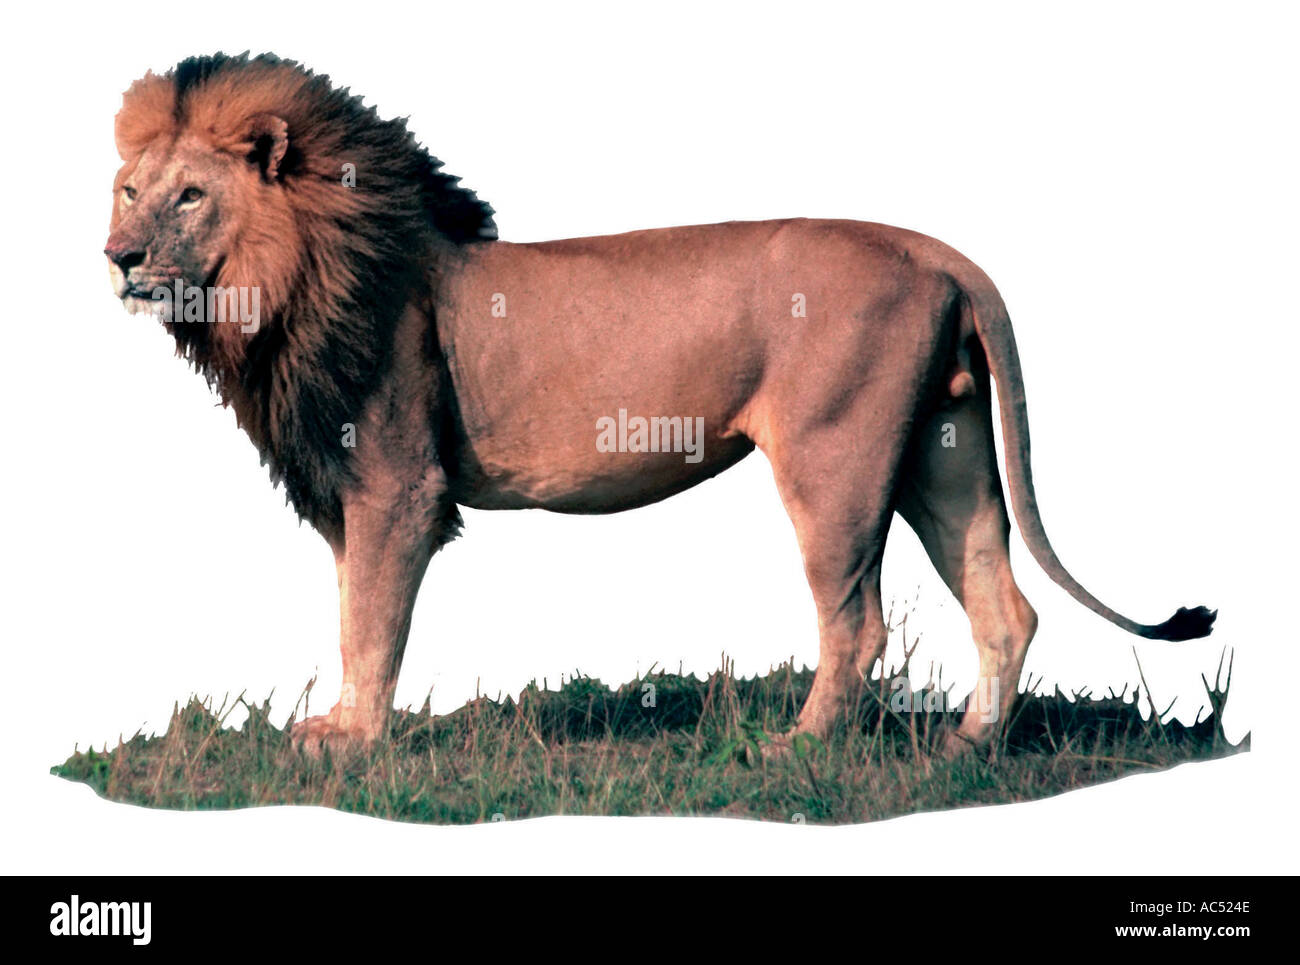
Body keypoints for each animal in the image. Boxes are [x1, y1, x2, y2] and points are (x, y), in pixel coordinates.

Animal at [105, 53, 1214, 758]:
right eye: (127, 189)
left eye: (190, 194)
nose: (118, 258)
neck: (293, 279)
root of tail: (936, 249)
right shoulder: (347, 489)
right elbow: (349, 608)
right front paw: (340, 730)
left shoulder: (396, 483)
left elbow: (371, 619)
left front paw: (352, 747)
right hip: (944, 453)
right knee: (1004, 603)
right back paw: (970, 749)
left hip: (837, 457)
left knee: (856, 620)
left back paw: (798, 747)